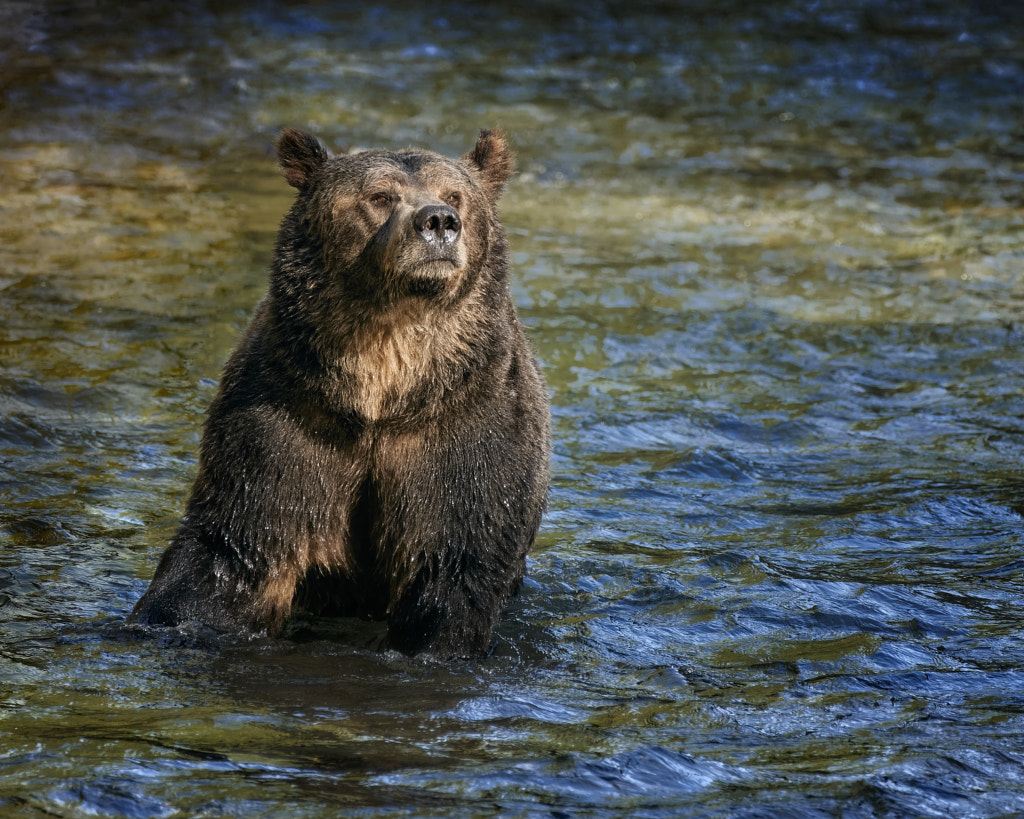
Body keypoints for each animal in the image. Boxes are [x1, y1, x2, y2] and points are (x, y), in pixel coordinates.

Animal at [128, 127, 550, 658]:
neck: (382, 389)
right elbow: (237, 546)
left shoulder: (466, 421)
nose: (438, 222)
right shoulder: (291, 416)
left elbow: (454, 555)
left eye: (456, 195)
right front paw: (169, 620)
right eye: (380, 196)